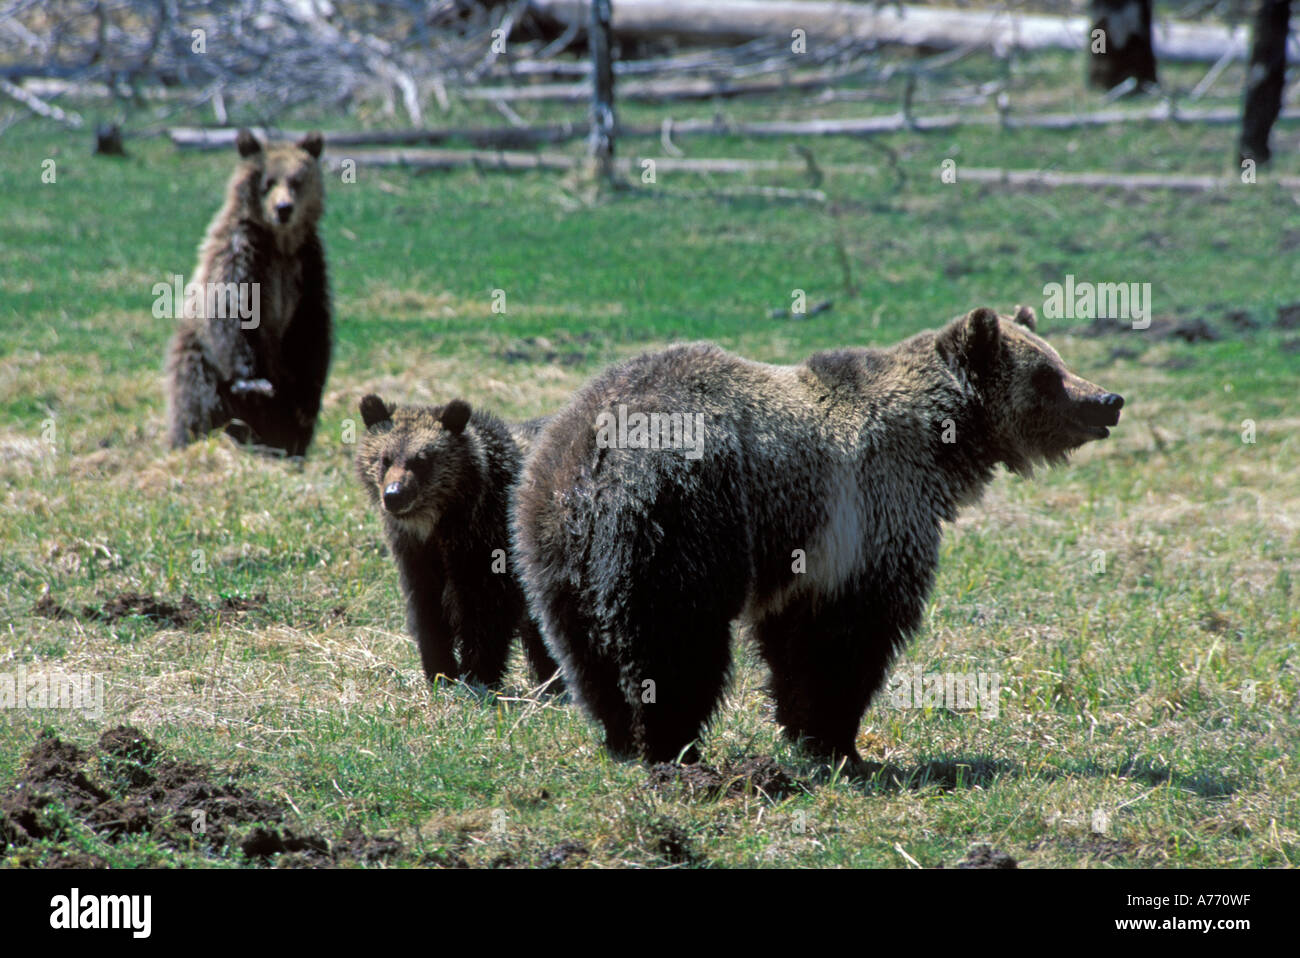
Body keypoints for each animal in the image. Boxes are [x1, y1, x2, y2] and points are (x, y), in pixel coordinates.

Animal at [165, 128, 331, 457]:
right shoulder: (242, 254)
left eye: (296, 180)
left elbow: (312, 328)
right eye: (268, 182)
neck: (280, 244)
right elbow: (233, 310)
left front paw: (309, 400)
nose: (283, 209)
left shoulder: (306, 269)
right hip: (201, 359)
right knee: (199, 397)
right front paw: (252, 380)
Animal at [355, 394, 562, 690]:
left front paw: (479, 675)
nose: (394, 494)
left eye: (422, 459)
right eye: (385, 458)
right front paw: (440, 672)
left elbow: (488, 615)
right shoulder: (415, 555)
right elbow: (428, 611)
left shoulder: (488, 549)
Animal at [512, 306, 1124, 764]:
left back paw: (620, 736)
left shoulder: (809, 556)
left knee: (583, 644)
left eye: (1060, 360)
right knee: (673, 639)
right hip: (683, 515)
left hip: (551, 532)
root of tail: (598, 451)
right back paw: (671, 745)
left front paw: (808, 734)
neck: (939, 442)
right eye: (1046, 374)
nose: (1107, 400)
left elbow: (792, 644)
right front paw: (840, 745)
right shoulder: (867, 517)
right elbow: (846, 641)